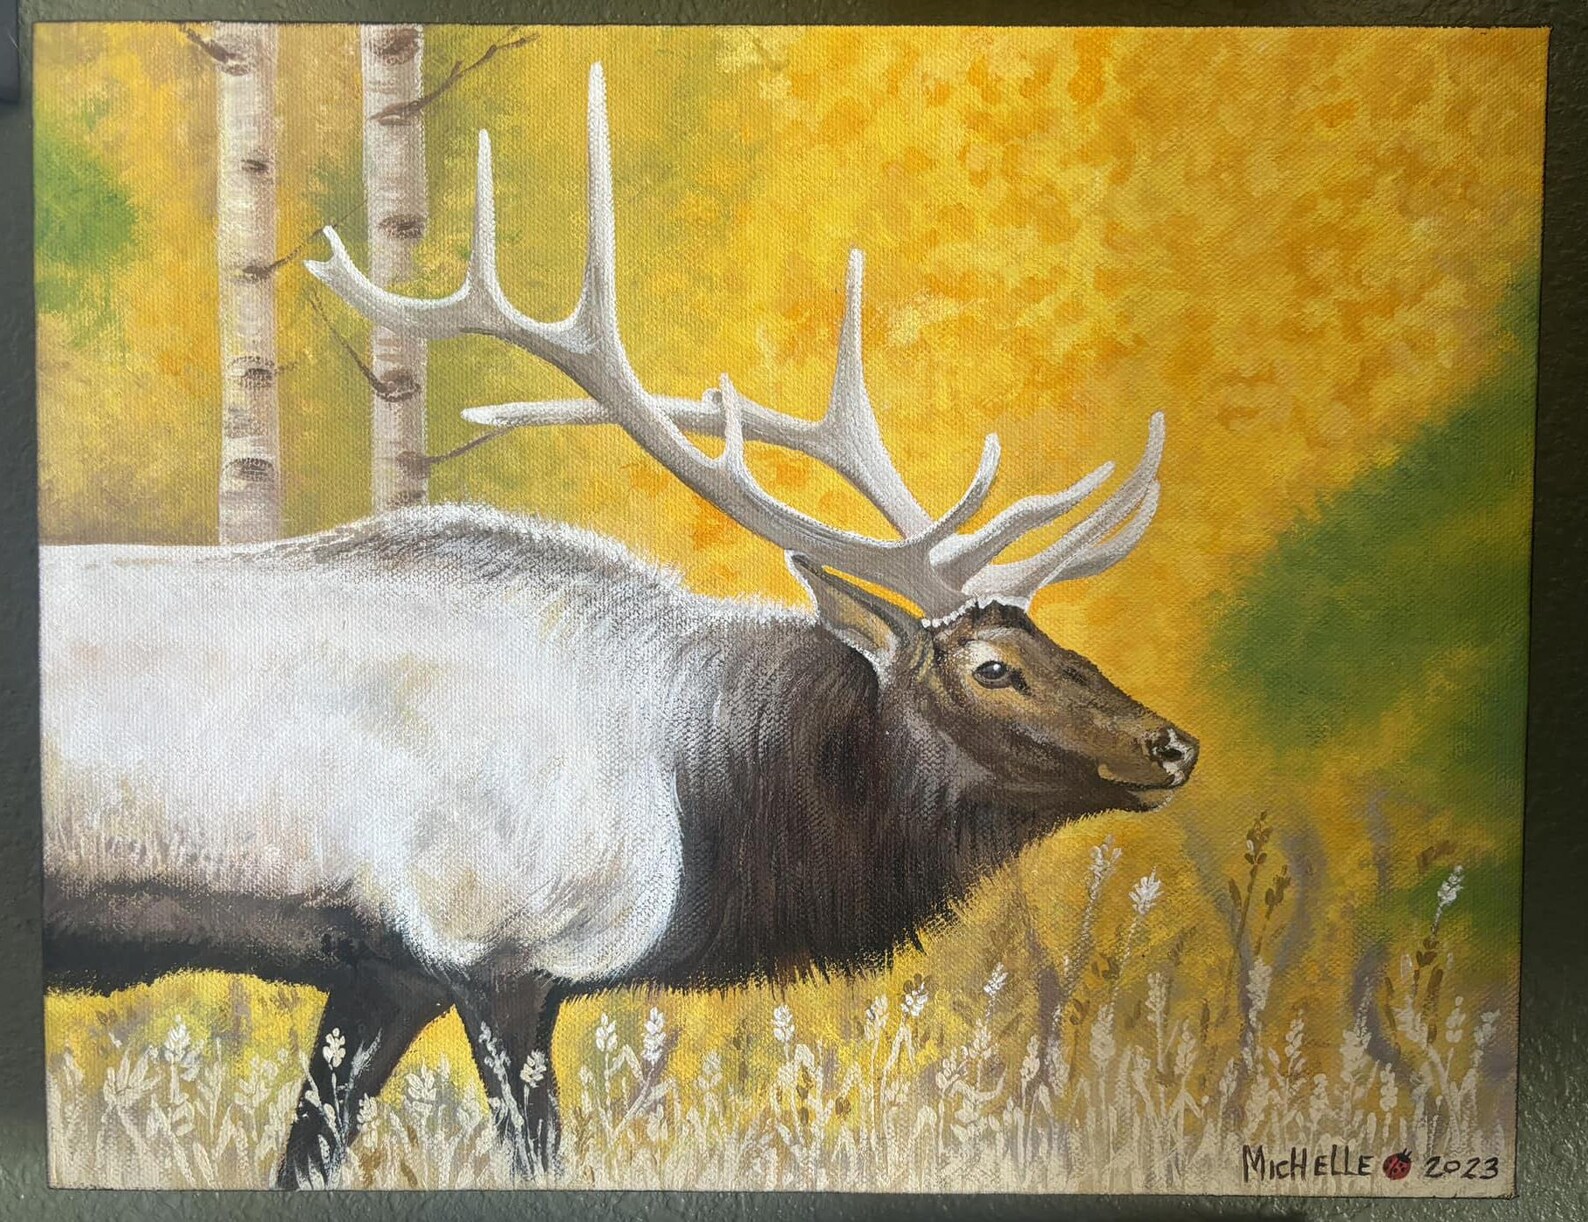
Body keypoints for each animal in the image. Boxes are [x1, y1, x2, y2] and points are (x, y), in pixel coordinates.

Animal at [39, 63, 1198, 1188]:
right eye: (992, 665)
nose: (1172, 743)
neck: (696, 800)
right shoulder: (498, 953)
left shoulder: (387, 971)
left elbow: (308, 1152)